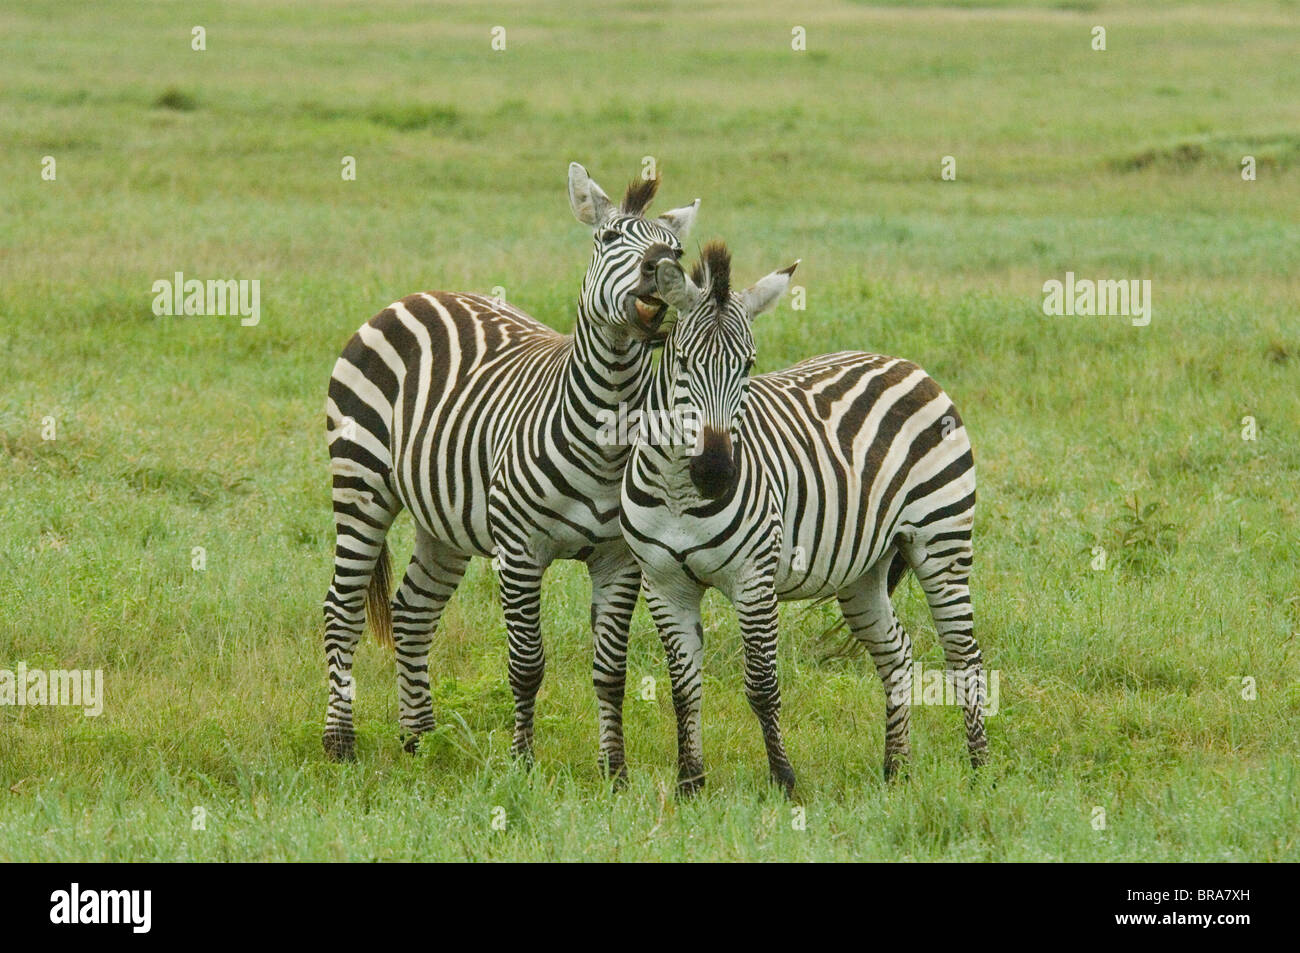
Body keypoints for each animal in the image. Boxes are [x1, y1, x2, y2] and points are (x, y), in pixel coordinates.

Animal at [323, 163, 699, 776]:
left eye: (677, 250)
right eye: (608, 238)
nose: (660, 268)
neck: (605, 434)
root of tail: (418, 295)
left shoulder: (620, 560)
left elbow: (610, 671)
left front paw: (613, 771)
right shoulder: (520, 552)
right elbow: (527, 664)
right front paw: (523, 763)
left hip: (443, 520)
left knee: (411, 612)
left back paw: (420, 740)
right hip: (360, 483)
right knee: (343, 609)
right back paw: (339, 742)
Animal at [620, 241, 988, 795]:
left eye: (748, 365)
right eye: (681, 362)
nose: (715, 472)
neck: (678, 491)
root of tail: (906, 363)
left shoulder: (754, 579)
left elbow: (761, 685)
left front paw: (784, 780)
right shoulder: (664, 584)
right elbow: (683, 686)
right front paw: (689, 784)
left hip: (943, 540)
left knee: (965, 656)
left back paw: (981, 771)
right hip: (863, 570)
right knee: (897, 653)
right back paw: (896, 769)